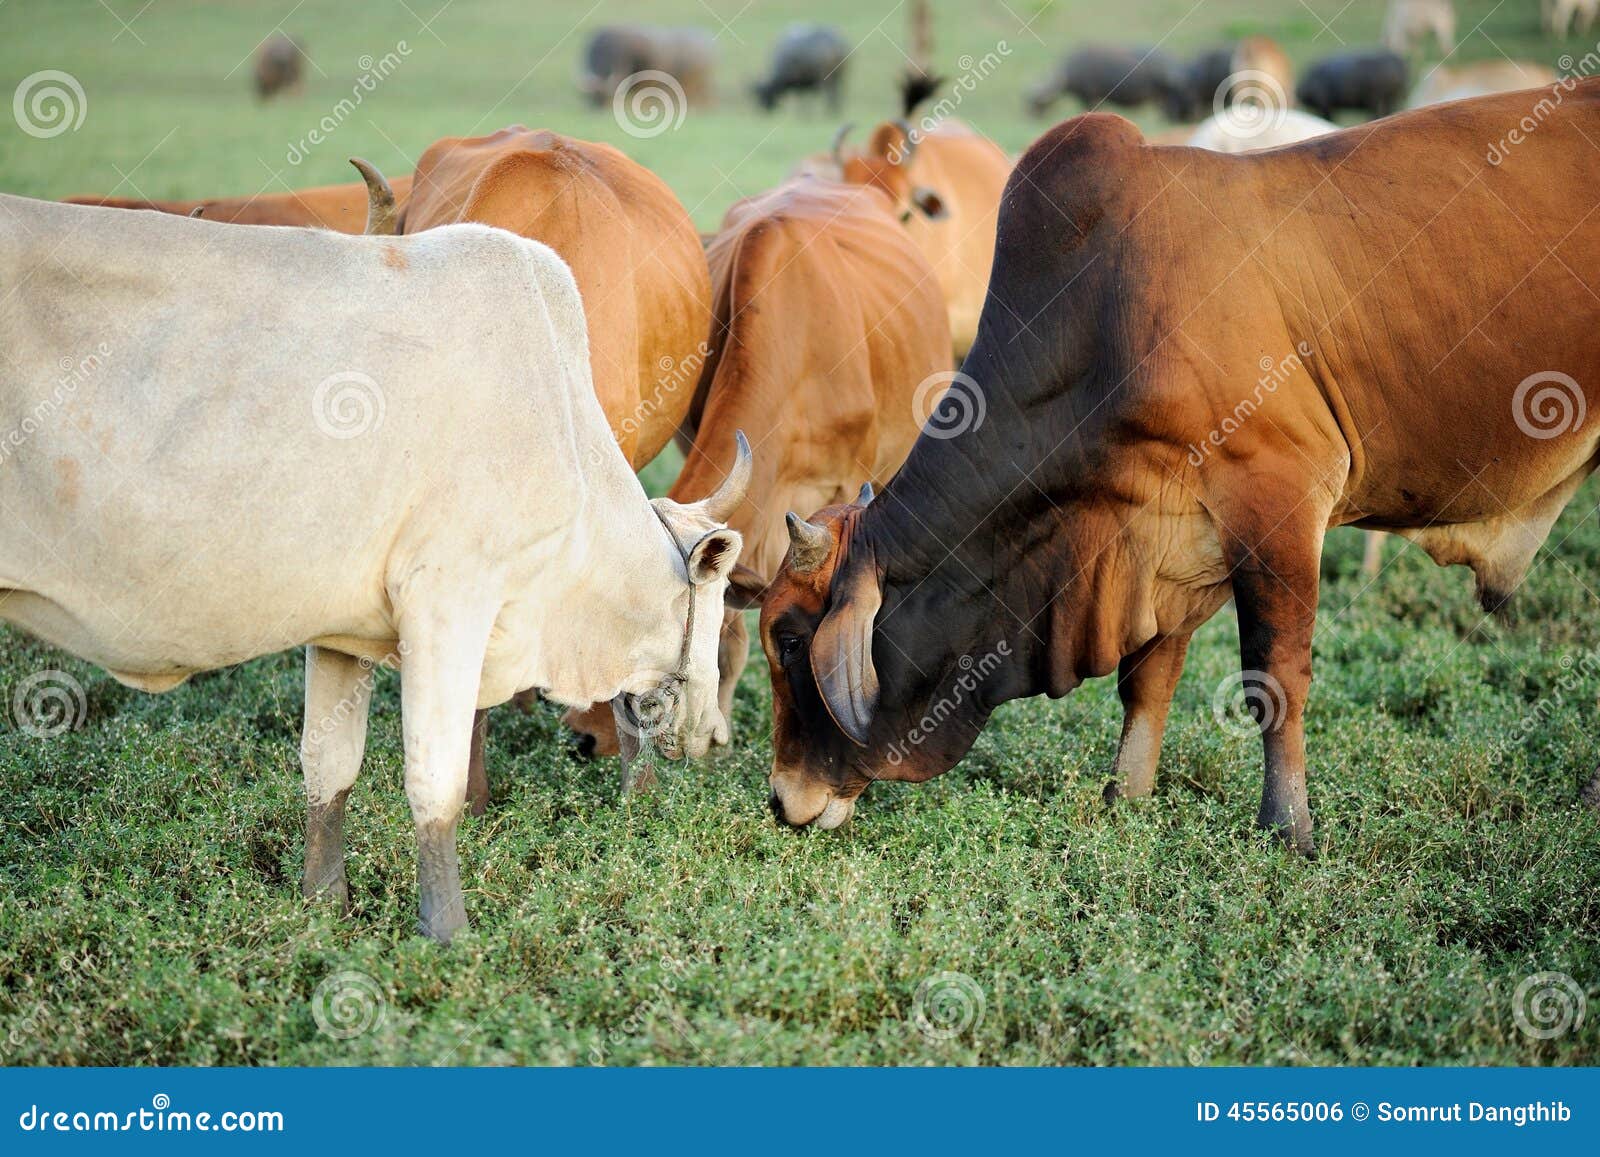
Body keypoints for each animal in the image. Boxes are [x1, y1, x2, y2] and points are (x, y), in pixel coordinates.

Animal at [0, 194, 750, 942]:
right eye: (717, 619)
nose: (716, 735)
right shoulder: (449, 600)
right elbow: (436, 785)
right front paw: (449, 933)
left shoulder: (340, 631)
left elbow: (327, 766)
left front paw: (324, 902)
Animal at [754, 86, 1600, 852]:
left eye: (790, 640)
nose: (781, 798)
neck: (1101, 316)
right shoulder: (1162, 533)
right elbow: (1147, 678)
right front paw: (1124, 796)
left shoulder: (1278, 498)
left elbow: (1276, 675)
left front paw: (1287, 829)